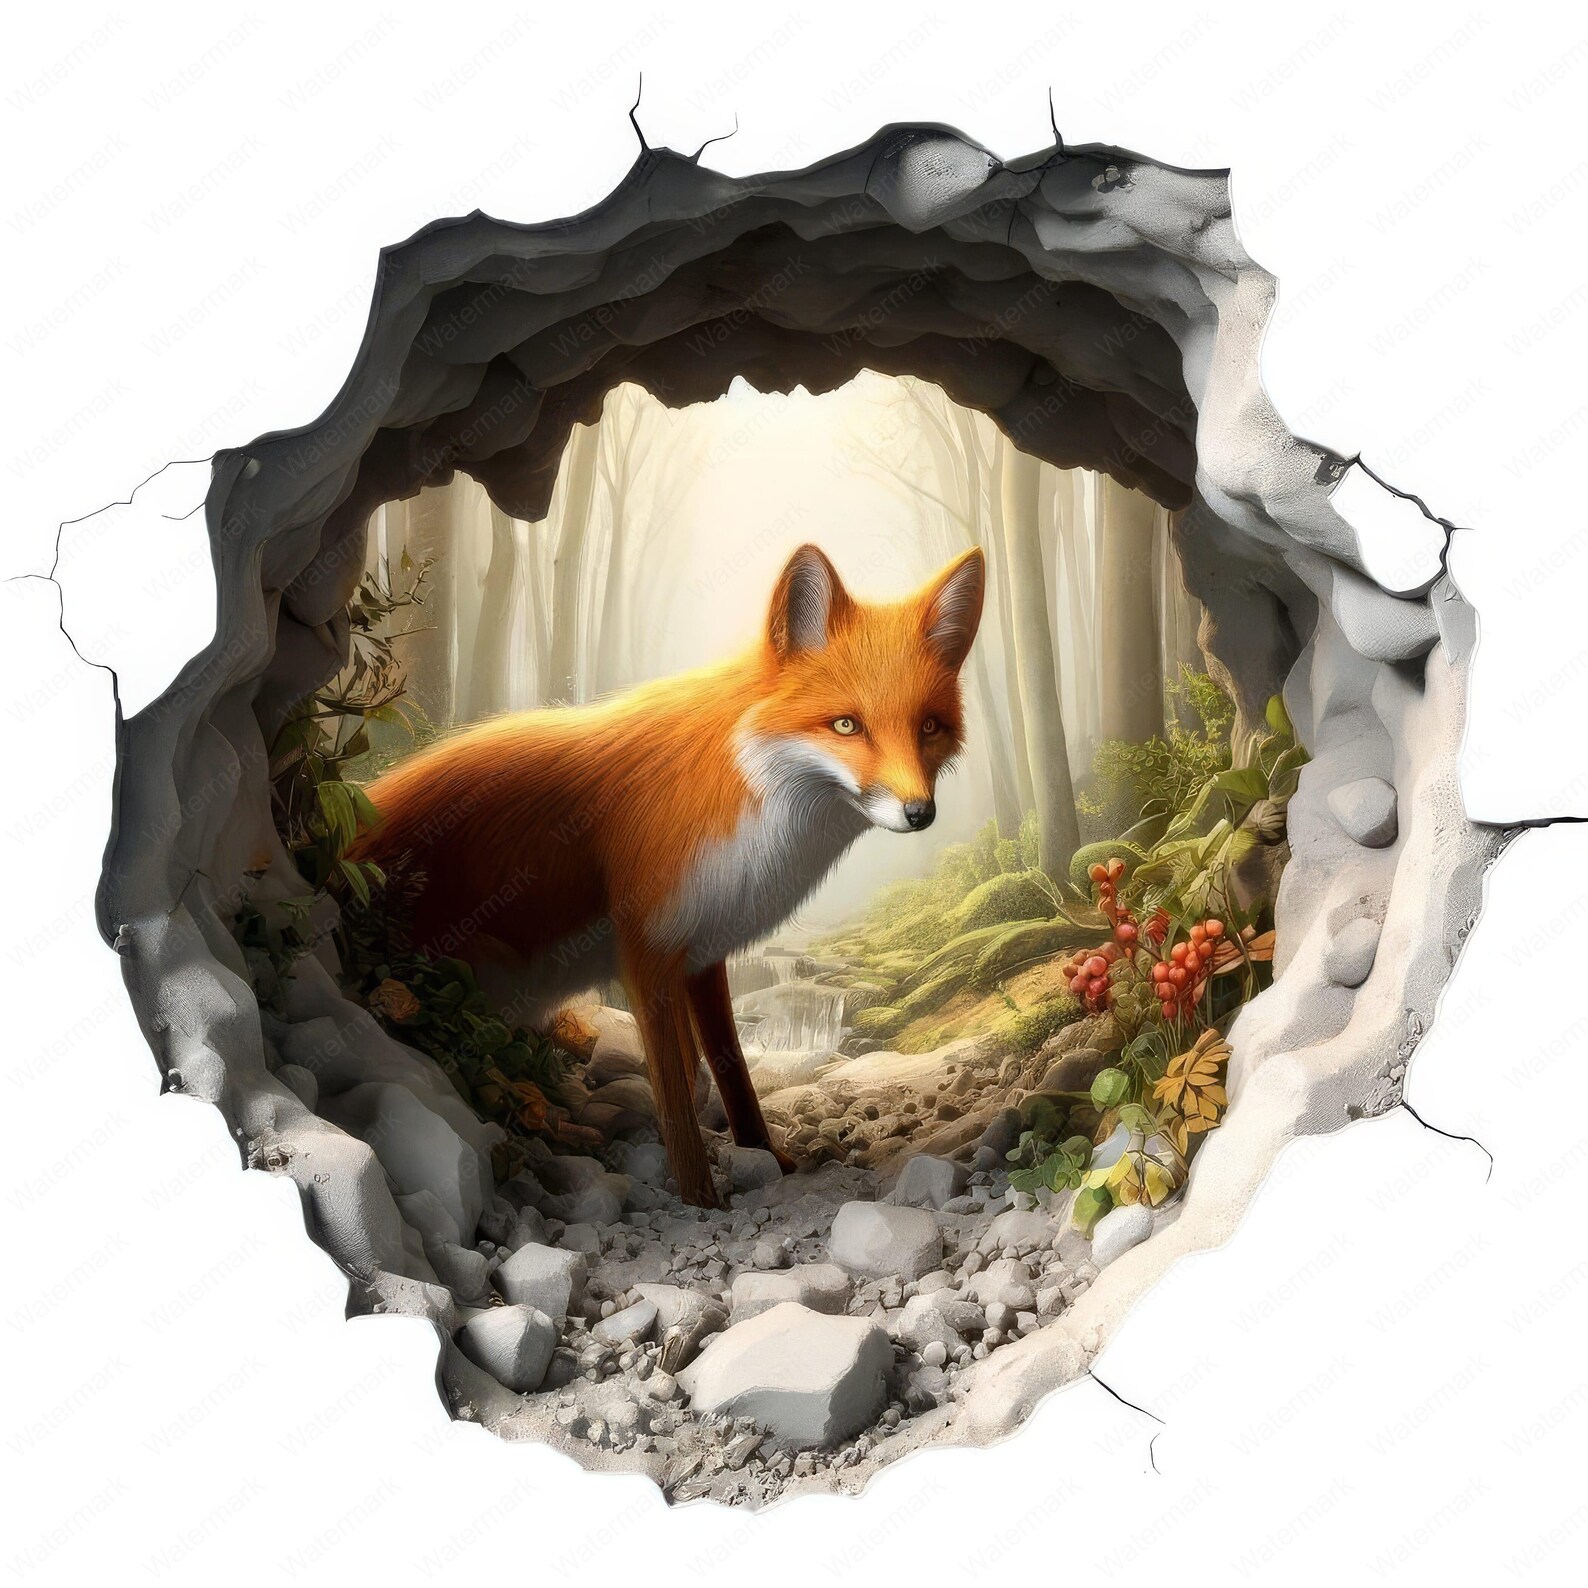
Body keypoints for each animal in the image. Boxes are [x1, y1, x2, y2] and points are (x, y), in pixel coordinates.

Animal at [350, 543, 986, 1208]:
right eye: (846, 725)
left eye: (929, 727)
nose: (920, 813)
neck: (743, 795)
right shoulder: (646, 952)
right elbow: (675, 1091)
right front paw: (699, 1194)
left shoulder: (701, 954)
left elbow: (729, 1069)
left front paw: (766, 1157)